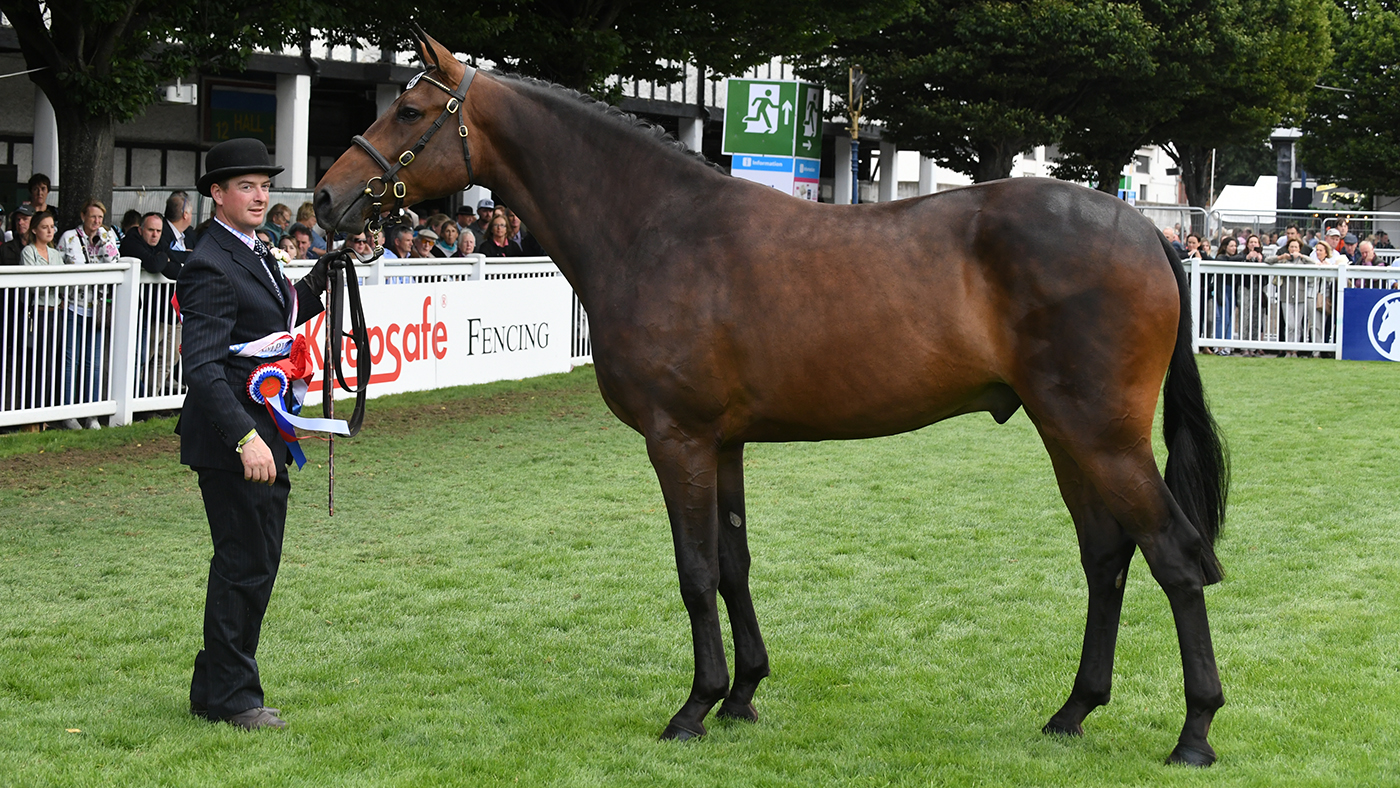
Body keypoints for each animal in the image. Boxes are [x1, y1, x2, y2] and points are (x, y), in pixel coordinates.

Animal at [314, 32, 1230, 767]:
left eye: (408, 111)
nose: (325, 198)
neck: (655, 227)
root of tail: (1147, 230)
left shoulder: (676, 438)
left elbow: (693, 571)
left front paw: (694, 707)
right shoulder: (722, 443)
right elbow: (733, 562)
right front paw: (745, 693)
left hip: (1100, 435)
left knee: (1177, 558)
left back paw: (1194, 733)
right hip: (1066, 433)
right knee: (1108, 556)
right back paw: (1073, 711)